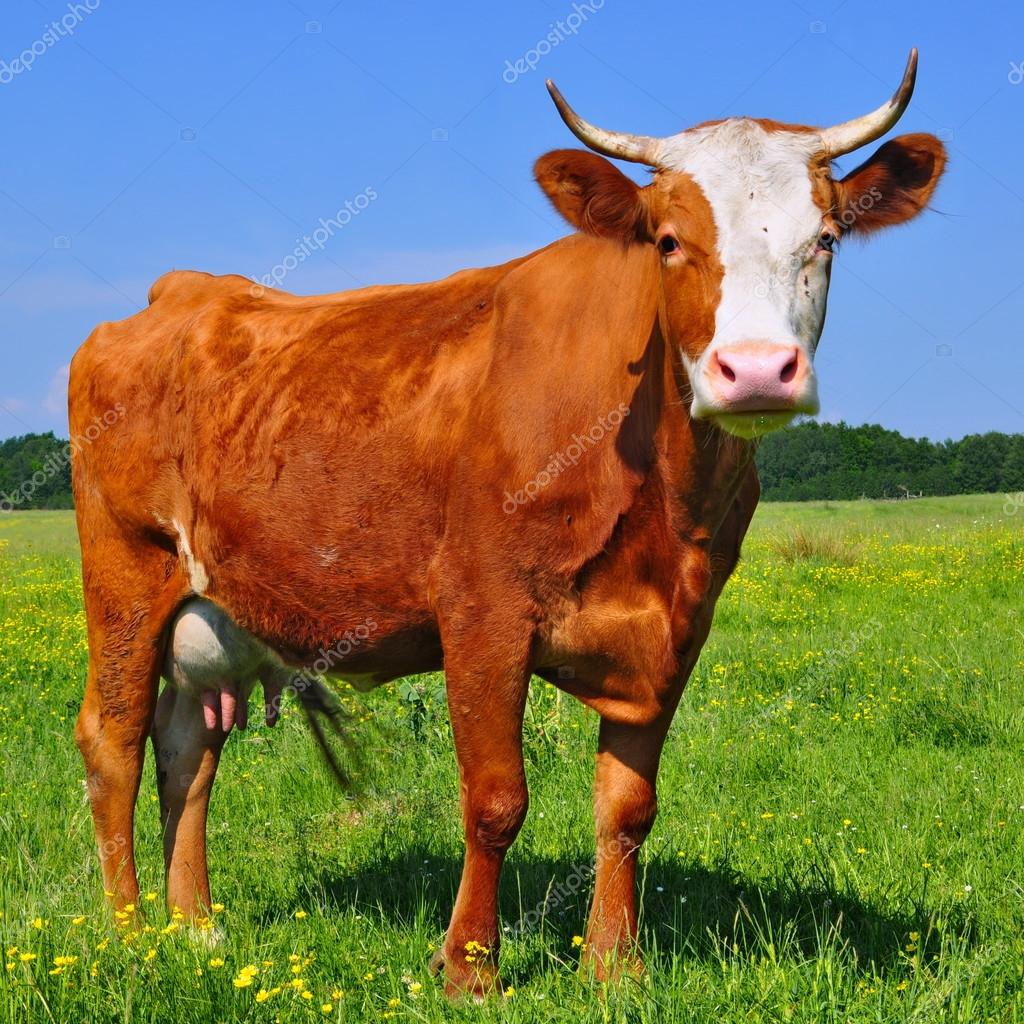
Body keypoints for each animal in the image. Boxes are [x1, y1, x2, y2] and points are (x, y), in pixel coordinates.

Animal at [69, 49, 945, 997]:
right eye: (668, 242)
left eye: (825, 240)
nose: (754, 371)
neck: (660, 496)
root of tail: (180, 292)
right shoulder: (482, 612)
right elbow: (495, 801)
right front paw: (468, 968)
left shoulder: (678, 626)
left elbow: (628, 808)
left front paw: (614, 965)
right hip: (126, 573)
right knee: (114, 741)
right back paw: (127, 935)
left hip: (214, 608)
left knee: (188, 742)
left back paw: (195, 927)